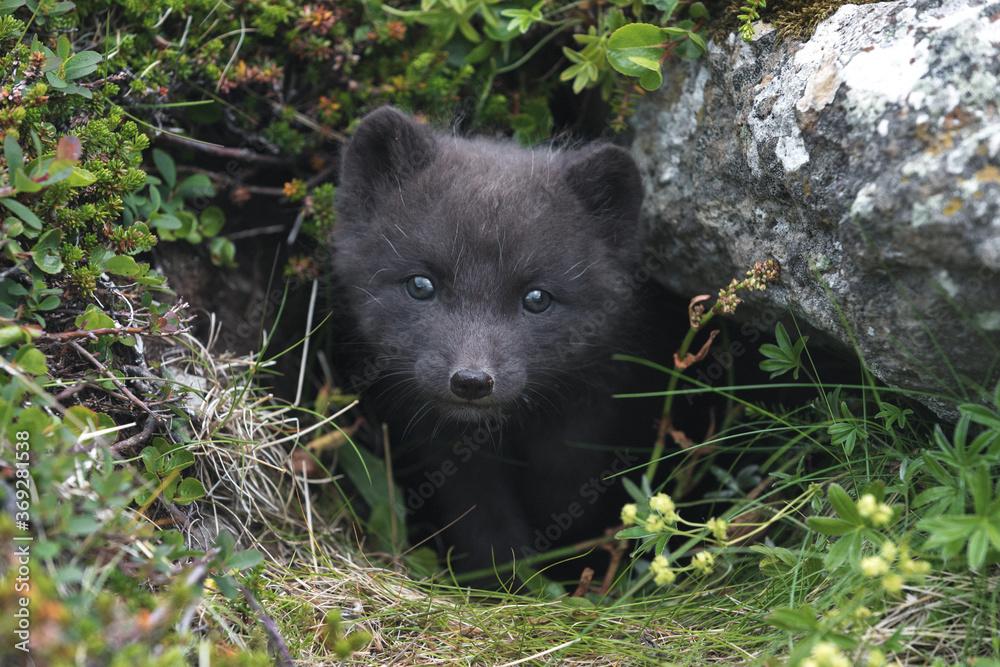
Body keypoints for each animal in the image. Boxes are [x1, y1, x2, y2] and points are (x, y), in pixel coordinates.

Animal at [333, 107, 659, 577]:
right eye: (420, 285)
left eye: (537, 298)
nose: (471, 380)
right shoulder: (450, 456)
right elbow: (483, 523)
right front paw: (502, 579)